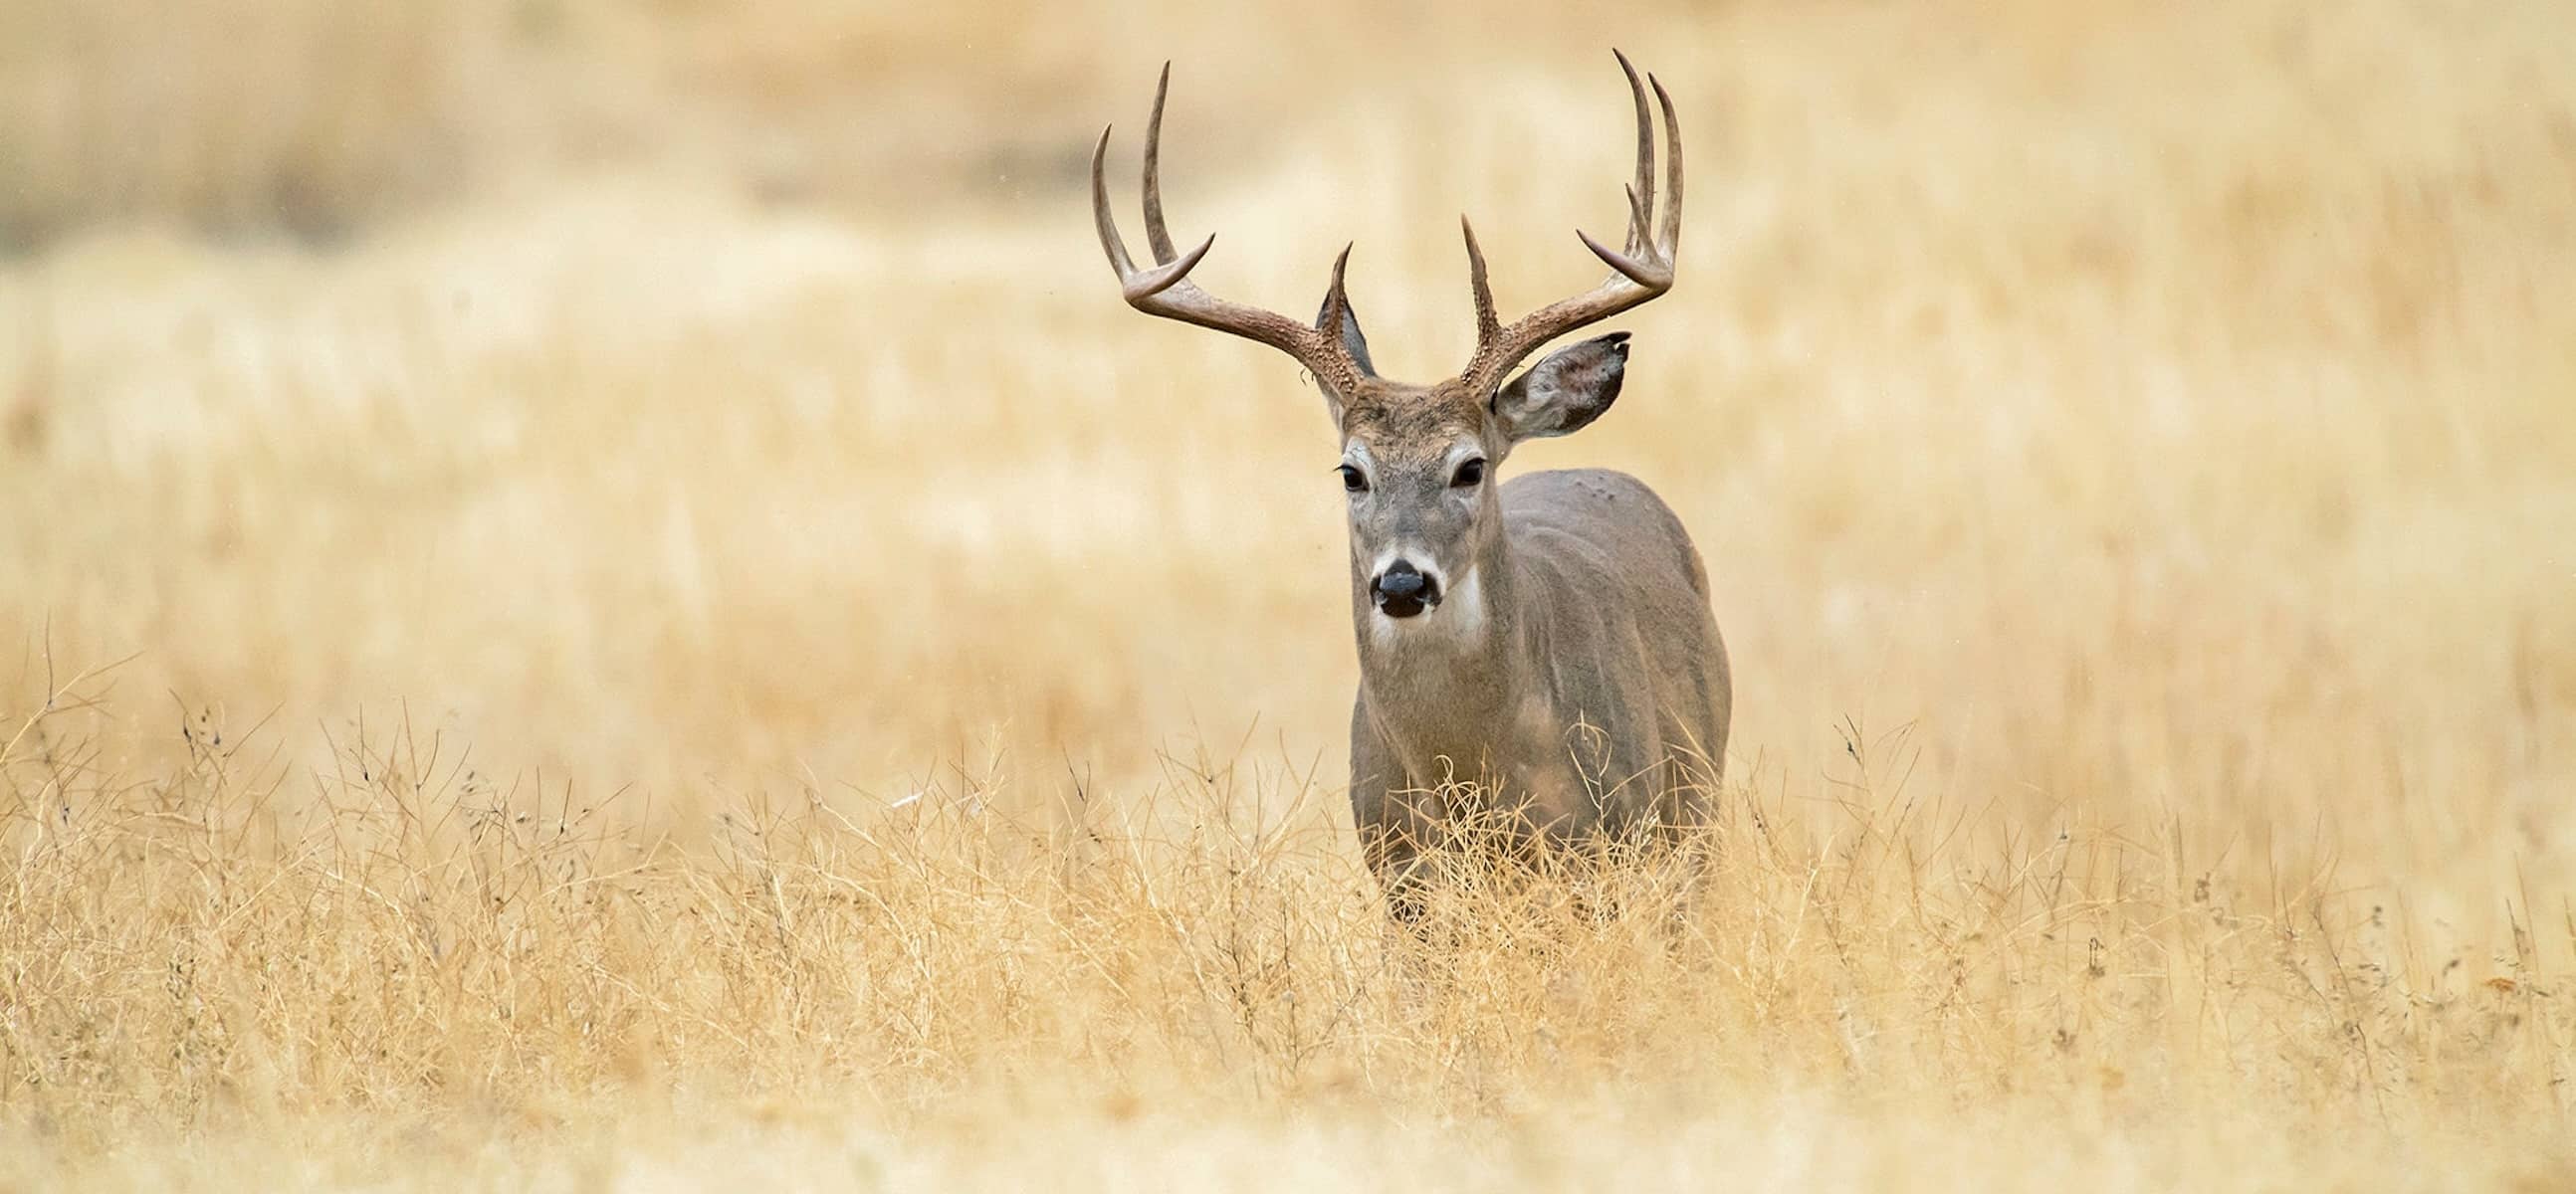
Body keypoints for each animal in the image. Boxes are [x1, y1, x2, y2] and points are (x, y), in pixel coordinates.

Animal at [1089, 53, 1730, 919]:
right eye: (1351, 471)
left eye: (1470, 466)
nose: (1400, 582)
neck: (1477, 773)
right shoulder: (1399, 874)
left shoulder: (1616, 846)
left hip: (1694, 810)